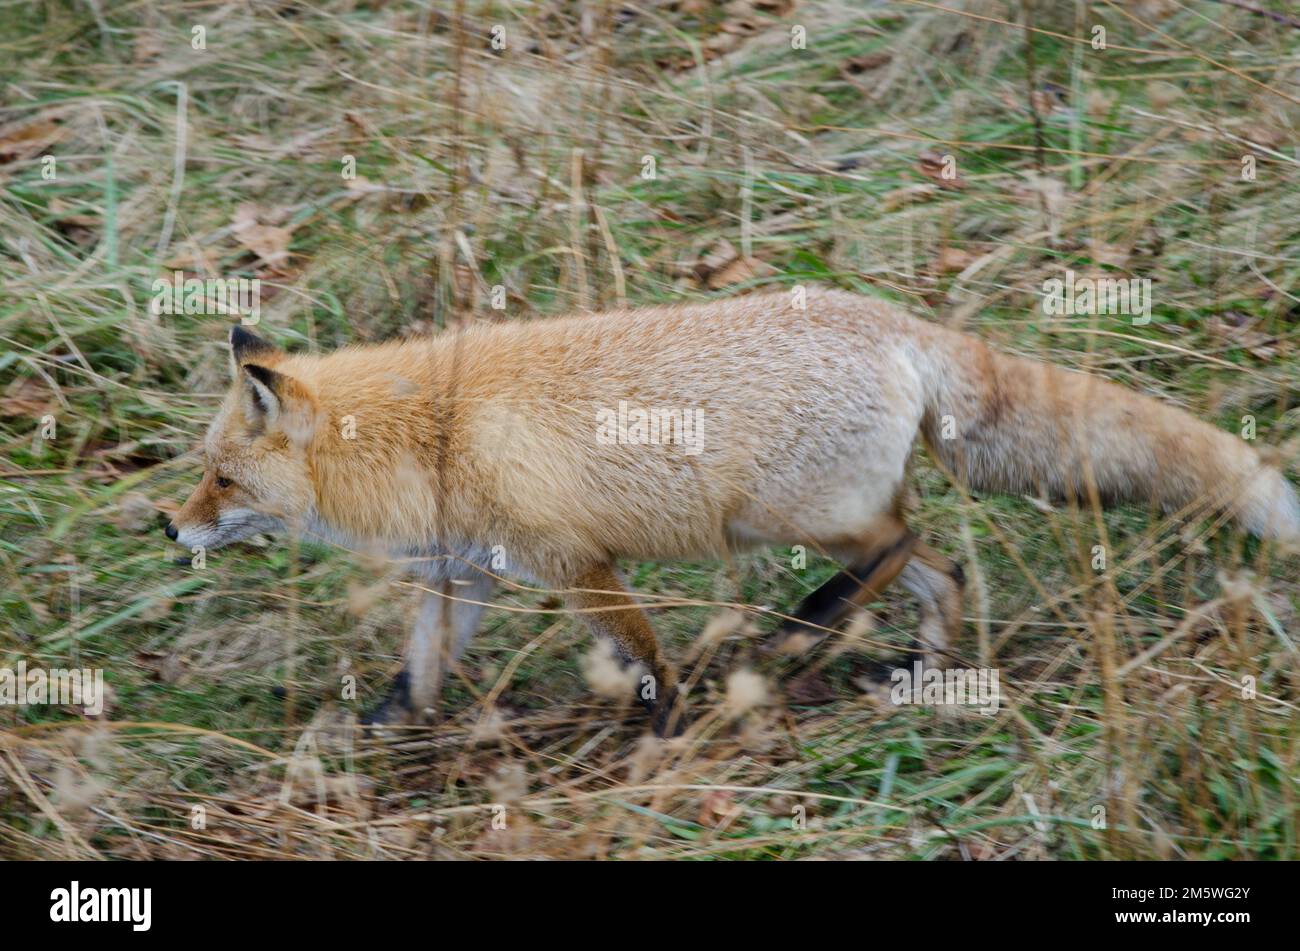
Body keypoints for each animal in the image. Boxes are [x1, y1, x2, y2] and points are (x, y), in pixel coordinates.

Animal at [166, 288, 1299, 736]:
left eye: (220, 478)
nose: (168, 530)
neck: (429, 438)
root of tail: (886, 316)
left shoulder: (576, 563)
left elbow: (643, 657)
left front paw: (667, 730)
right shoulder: (467, 573)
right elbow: (418, 669)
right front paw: (375, 736)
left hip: (804, 515)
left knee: (903, 548)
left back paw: (812, 620)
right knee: (942, 569)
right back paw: (922, 670)